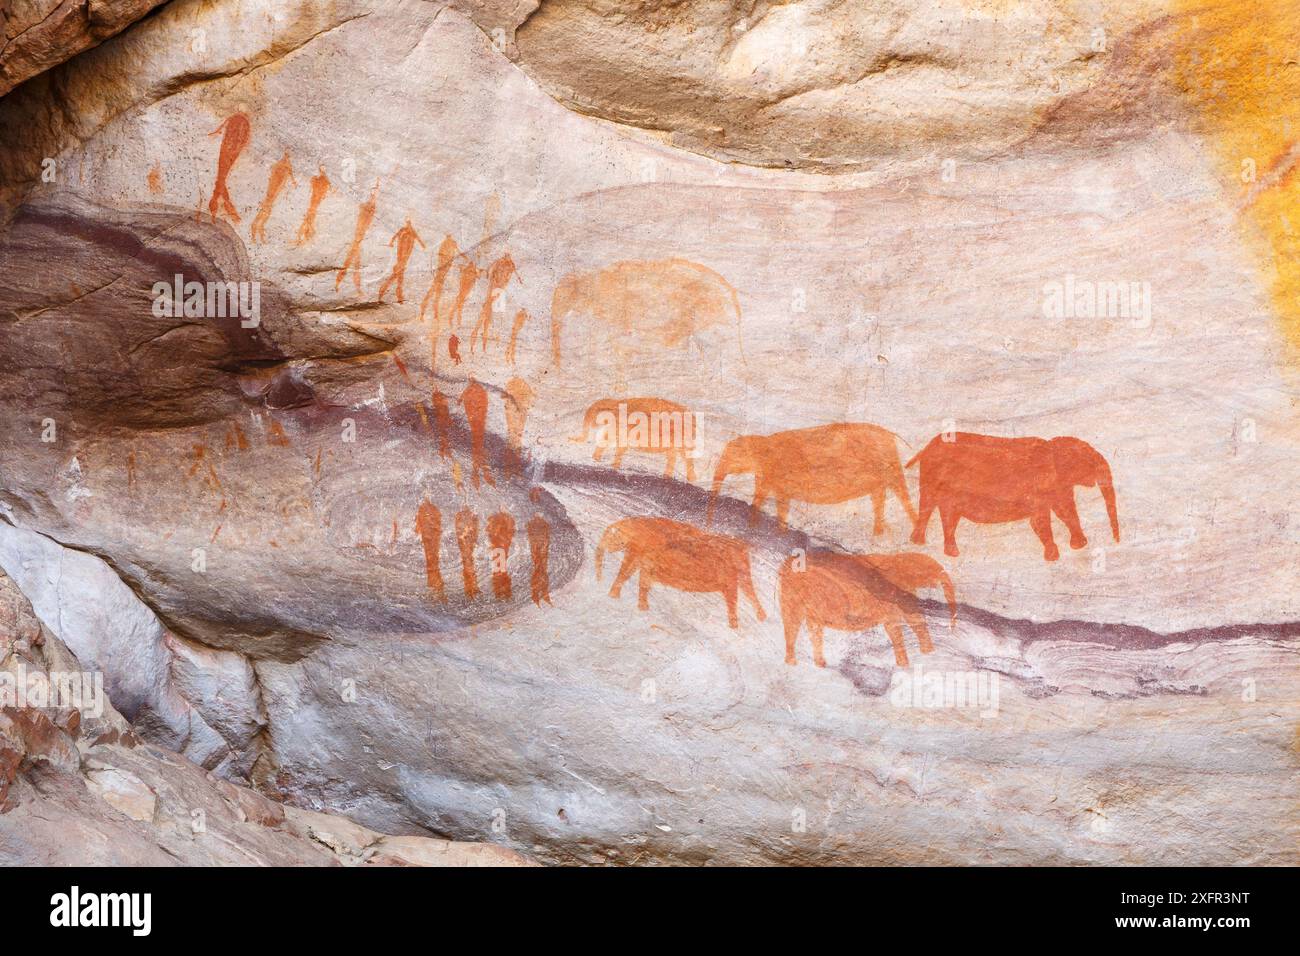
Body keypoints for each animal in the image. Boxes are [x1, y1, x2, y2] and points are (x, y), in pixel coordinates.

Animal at [707, 422, 917, 534]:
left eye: (731, 454)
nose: (708, 523)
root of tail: (891, 435)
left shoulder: (772, 470)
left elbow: (763, 497)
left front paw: (753, 528)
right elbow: (781, 502)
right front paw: (780, 532)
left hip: (889, 463)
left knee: (900, 492)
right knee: (879, 497)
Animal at [907, 433, 1120, 561]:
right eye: (1090, 462)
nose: (1117, 541)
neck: (1052, 447)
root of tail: (926, 448)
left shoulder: (1059, 486)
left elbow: (1064, 510)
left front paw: (1078, 546)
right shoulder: (1040, 485)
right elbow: (1040, 519)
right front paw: (1054, 557)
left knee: (947, 515)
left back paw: (947, 552)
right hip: (933, 478)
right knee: (931, 507)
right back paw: (927, 546)